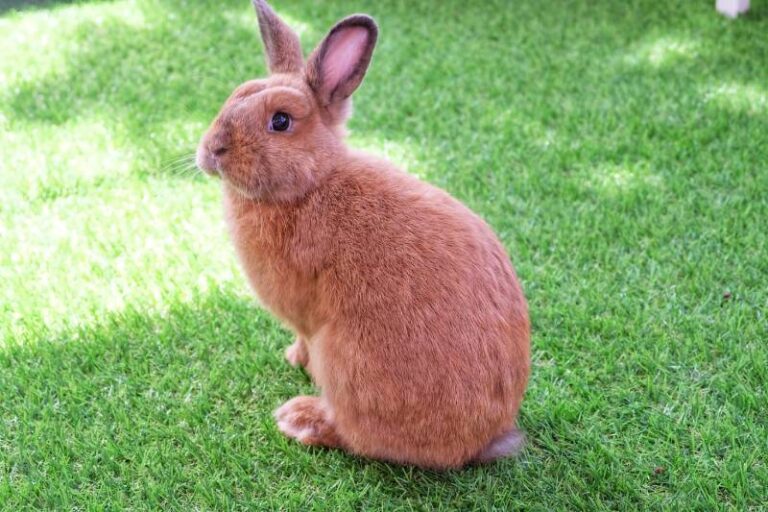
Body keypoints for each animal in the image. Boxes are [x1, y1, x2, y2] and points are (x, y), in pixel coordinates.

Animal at [195, 0, 531, 470]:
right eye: (235, 94)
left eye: (280, 121)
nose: (212, 150)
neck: (311, 184)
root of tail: (476, 443)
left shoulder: (305, 317)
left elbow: (303, 336)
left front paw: (295, 359)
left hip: (345, 363)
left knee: (356, 437)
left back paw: (300, 419)